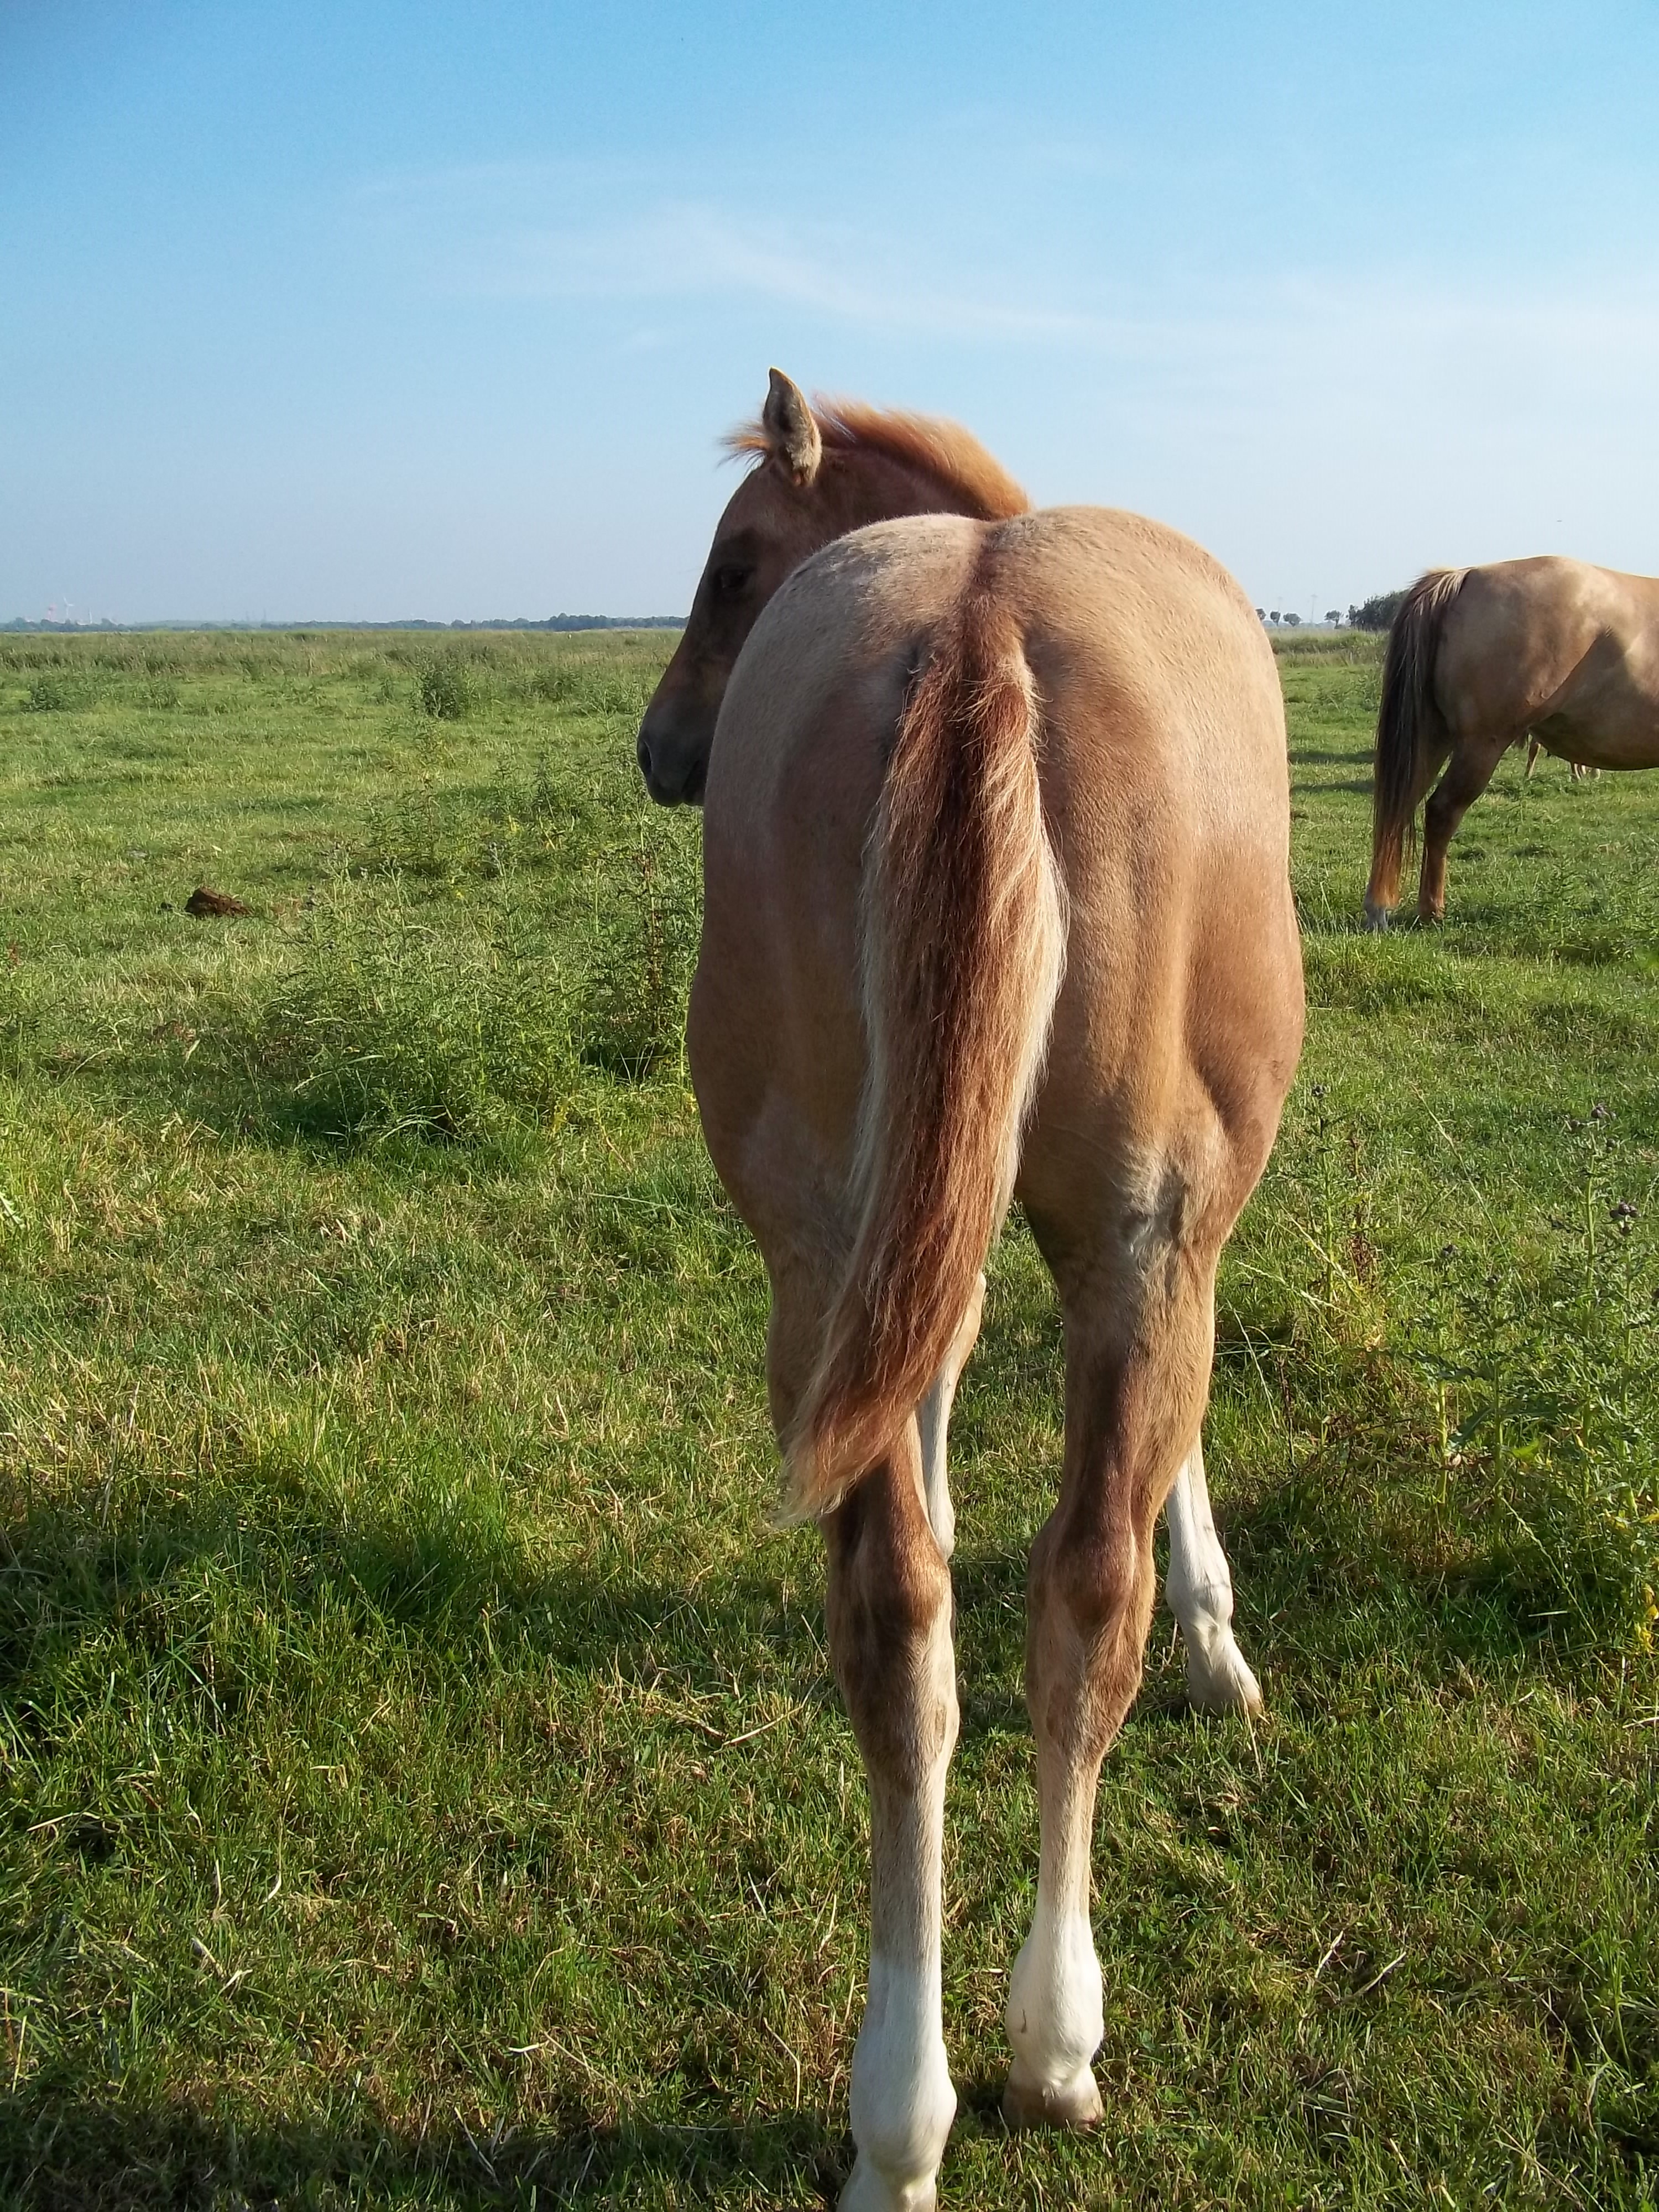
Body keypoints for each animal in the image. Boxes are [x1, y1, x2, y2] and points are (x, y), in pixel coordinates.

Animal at [638, 371, 1303, 2210]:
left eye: (734, 561)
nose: (659, 751)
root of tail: (983, 628)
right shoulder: (1173, 1237)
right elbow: (1167, 1465)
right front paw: (1221, 1631)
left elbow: (930, 1386)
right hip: (1143, 1239)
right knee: (1083, 1607)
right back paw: (1048, 2045)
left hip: (816, 1253)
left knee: (900, 1634)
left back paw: (897, 2119)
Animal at [1365, 556, 1659, 926]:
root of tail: (1463, 577)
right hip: (1481, 746)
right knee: (1441, 812)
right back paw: (1432, 910)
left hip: (1432, 739)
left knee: (1399, 810)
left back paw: (1379, 909)